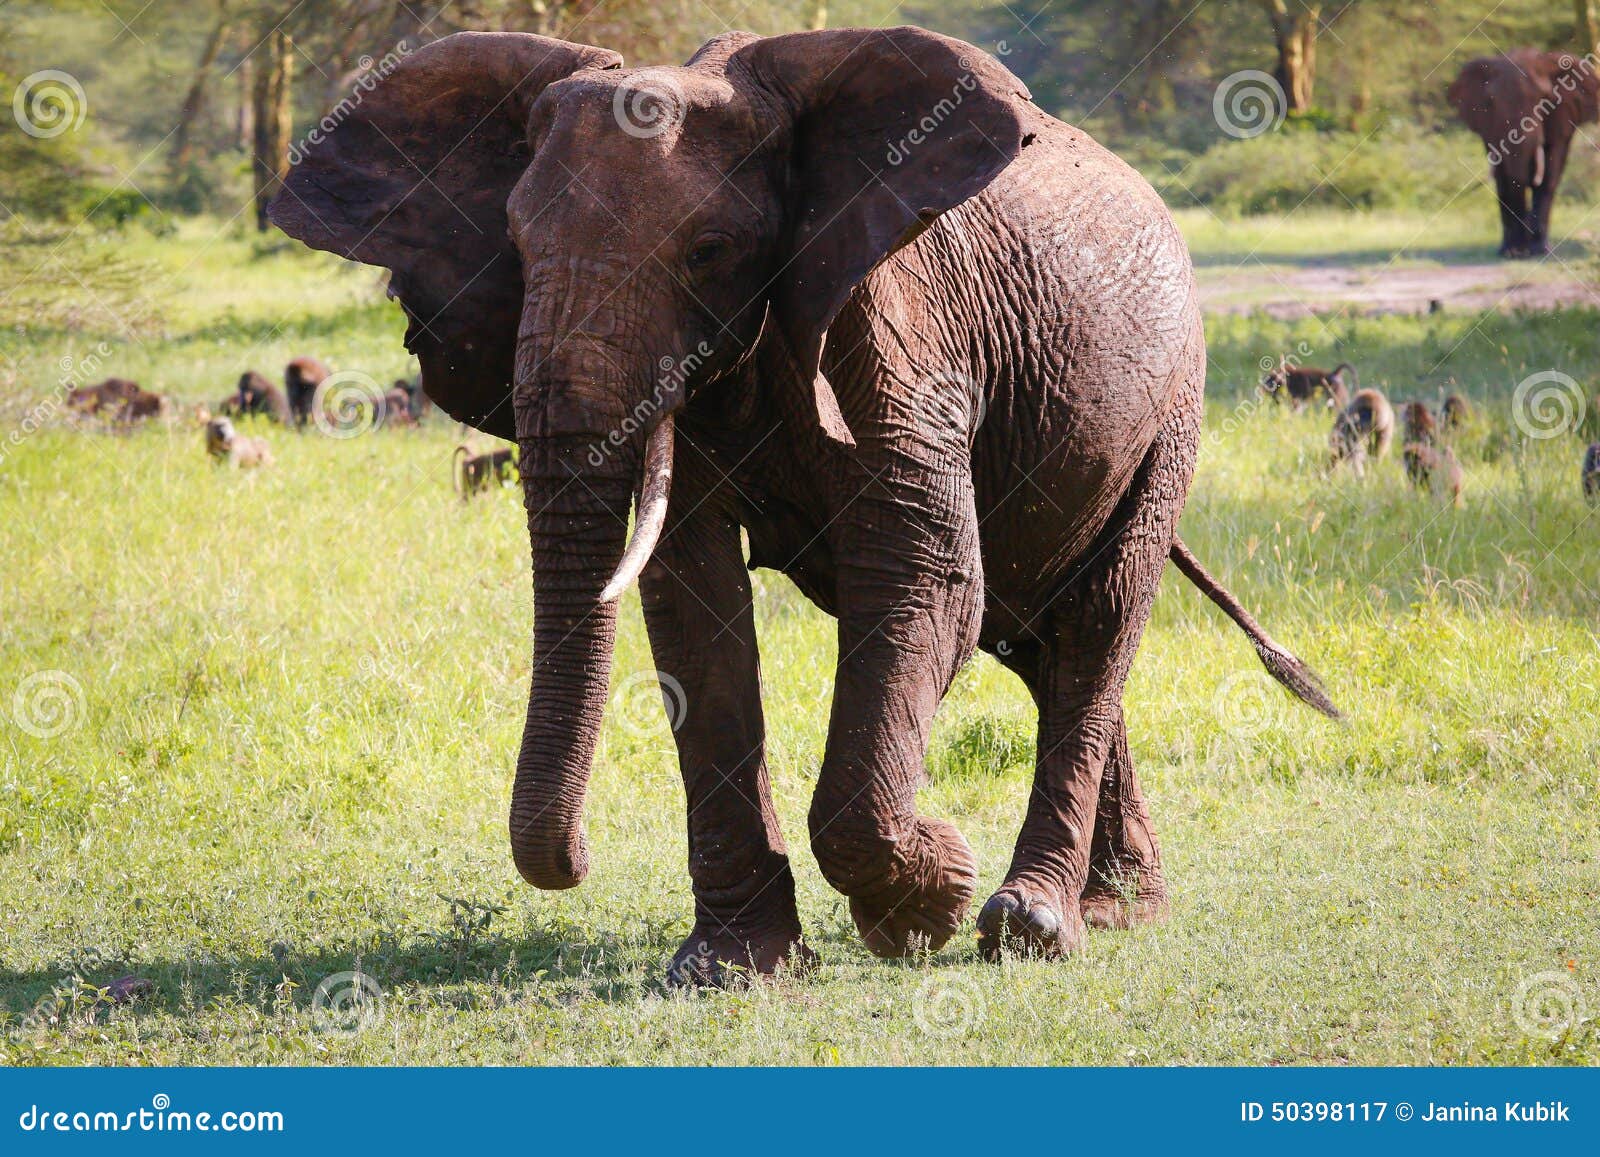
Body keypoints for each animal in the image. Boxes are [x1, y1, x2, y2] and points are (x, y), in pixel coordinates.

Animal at [270, 27, 1339, 982]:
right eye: (519, 250)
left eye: (709, 251)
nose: (575, 861)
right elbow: (693, 615)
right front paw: (731, 967)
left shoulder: (893, 333)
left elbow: (922, 579)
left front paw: (922, 907)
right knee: (1041, 639)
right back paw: (1115, 909)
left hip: (1172, 409)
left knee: (1098, 617)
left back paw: (1033, 924)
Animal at [1448, 49, 1600, 258]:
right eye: (1492, 102)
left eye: (1545, 98)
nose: (1521, 251)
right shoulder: (1489, 127)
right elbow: (1504, 180)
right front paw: (1512, 253)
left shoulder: (1561, 120)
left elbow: (1549, 175)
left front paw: (1539, 252)